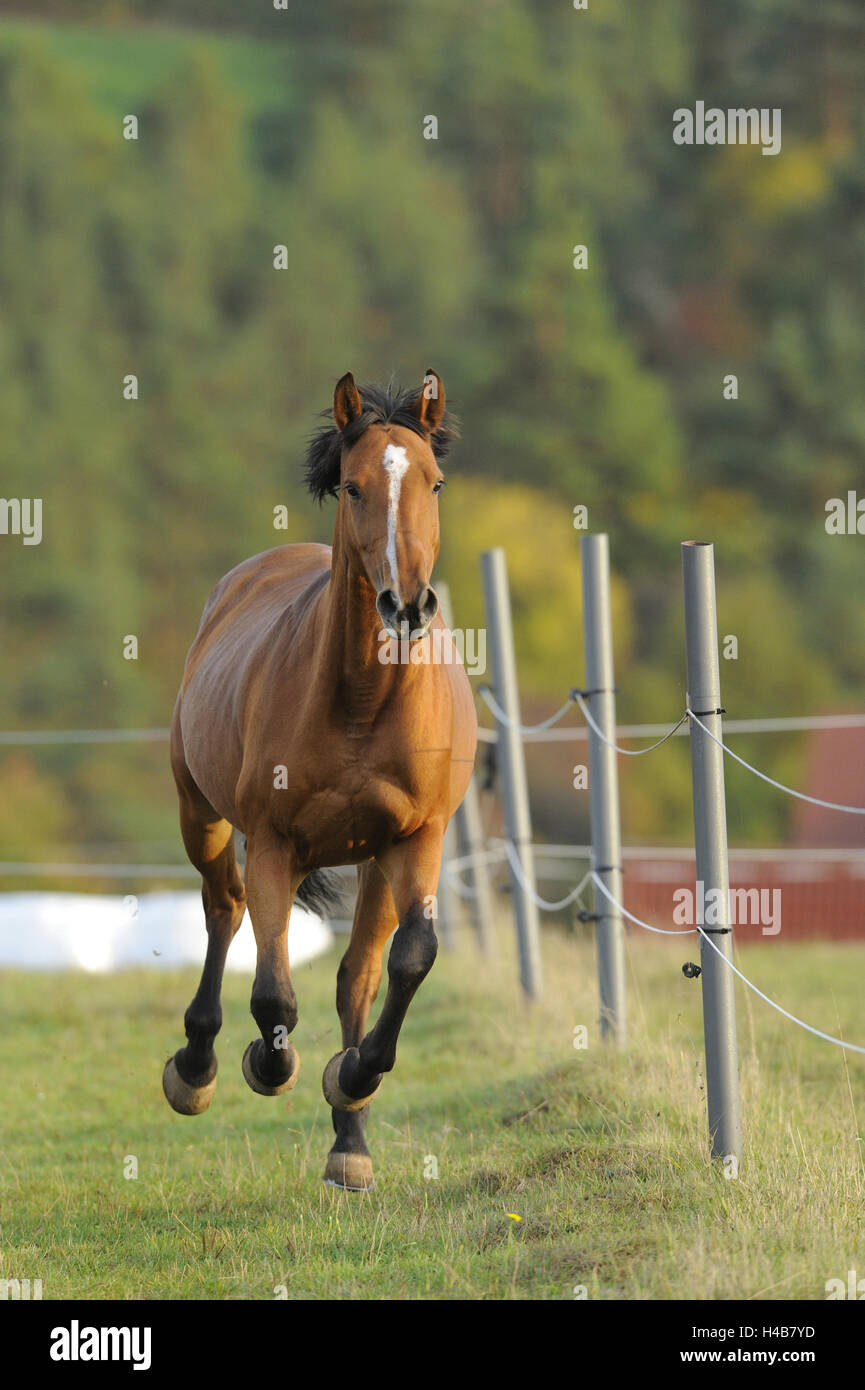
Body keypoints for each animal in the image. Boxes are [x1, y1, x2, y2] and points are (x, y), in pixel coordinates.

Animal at [162, 370, 477, 1190]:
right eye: (354, 486)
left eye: (434, 482)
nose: (407, 604)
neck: (361, 703)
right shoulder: (273, 843)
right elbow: (273, 990)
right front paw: (266, 1065)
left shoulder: (415, 839)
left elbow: (410, 959)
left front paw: (355, 1078)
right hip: (202, 816)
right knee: (224, 909)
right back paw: (196, 1068)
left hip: (370, 861)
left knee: (357, 975)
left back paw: (350, 1142)